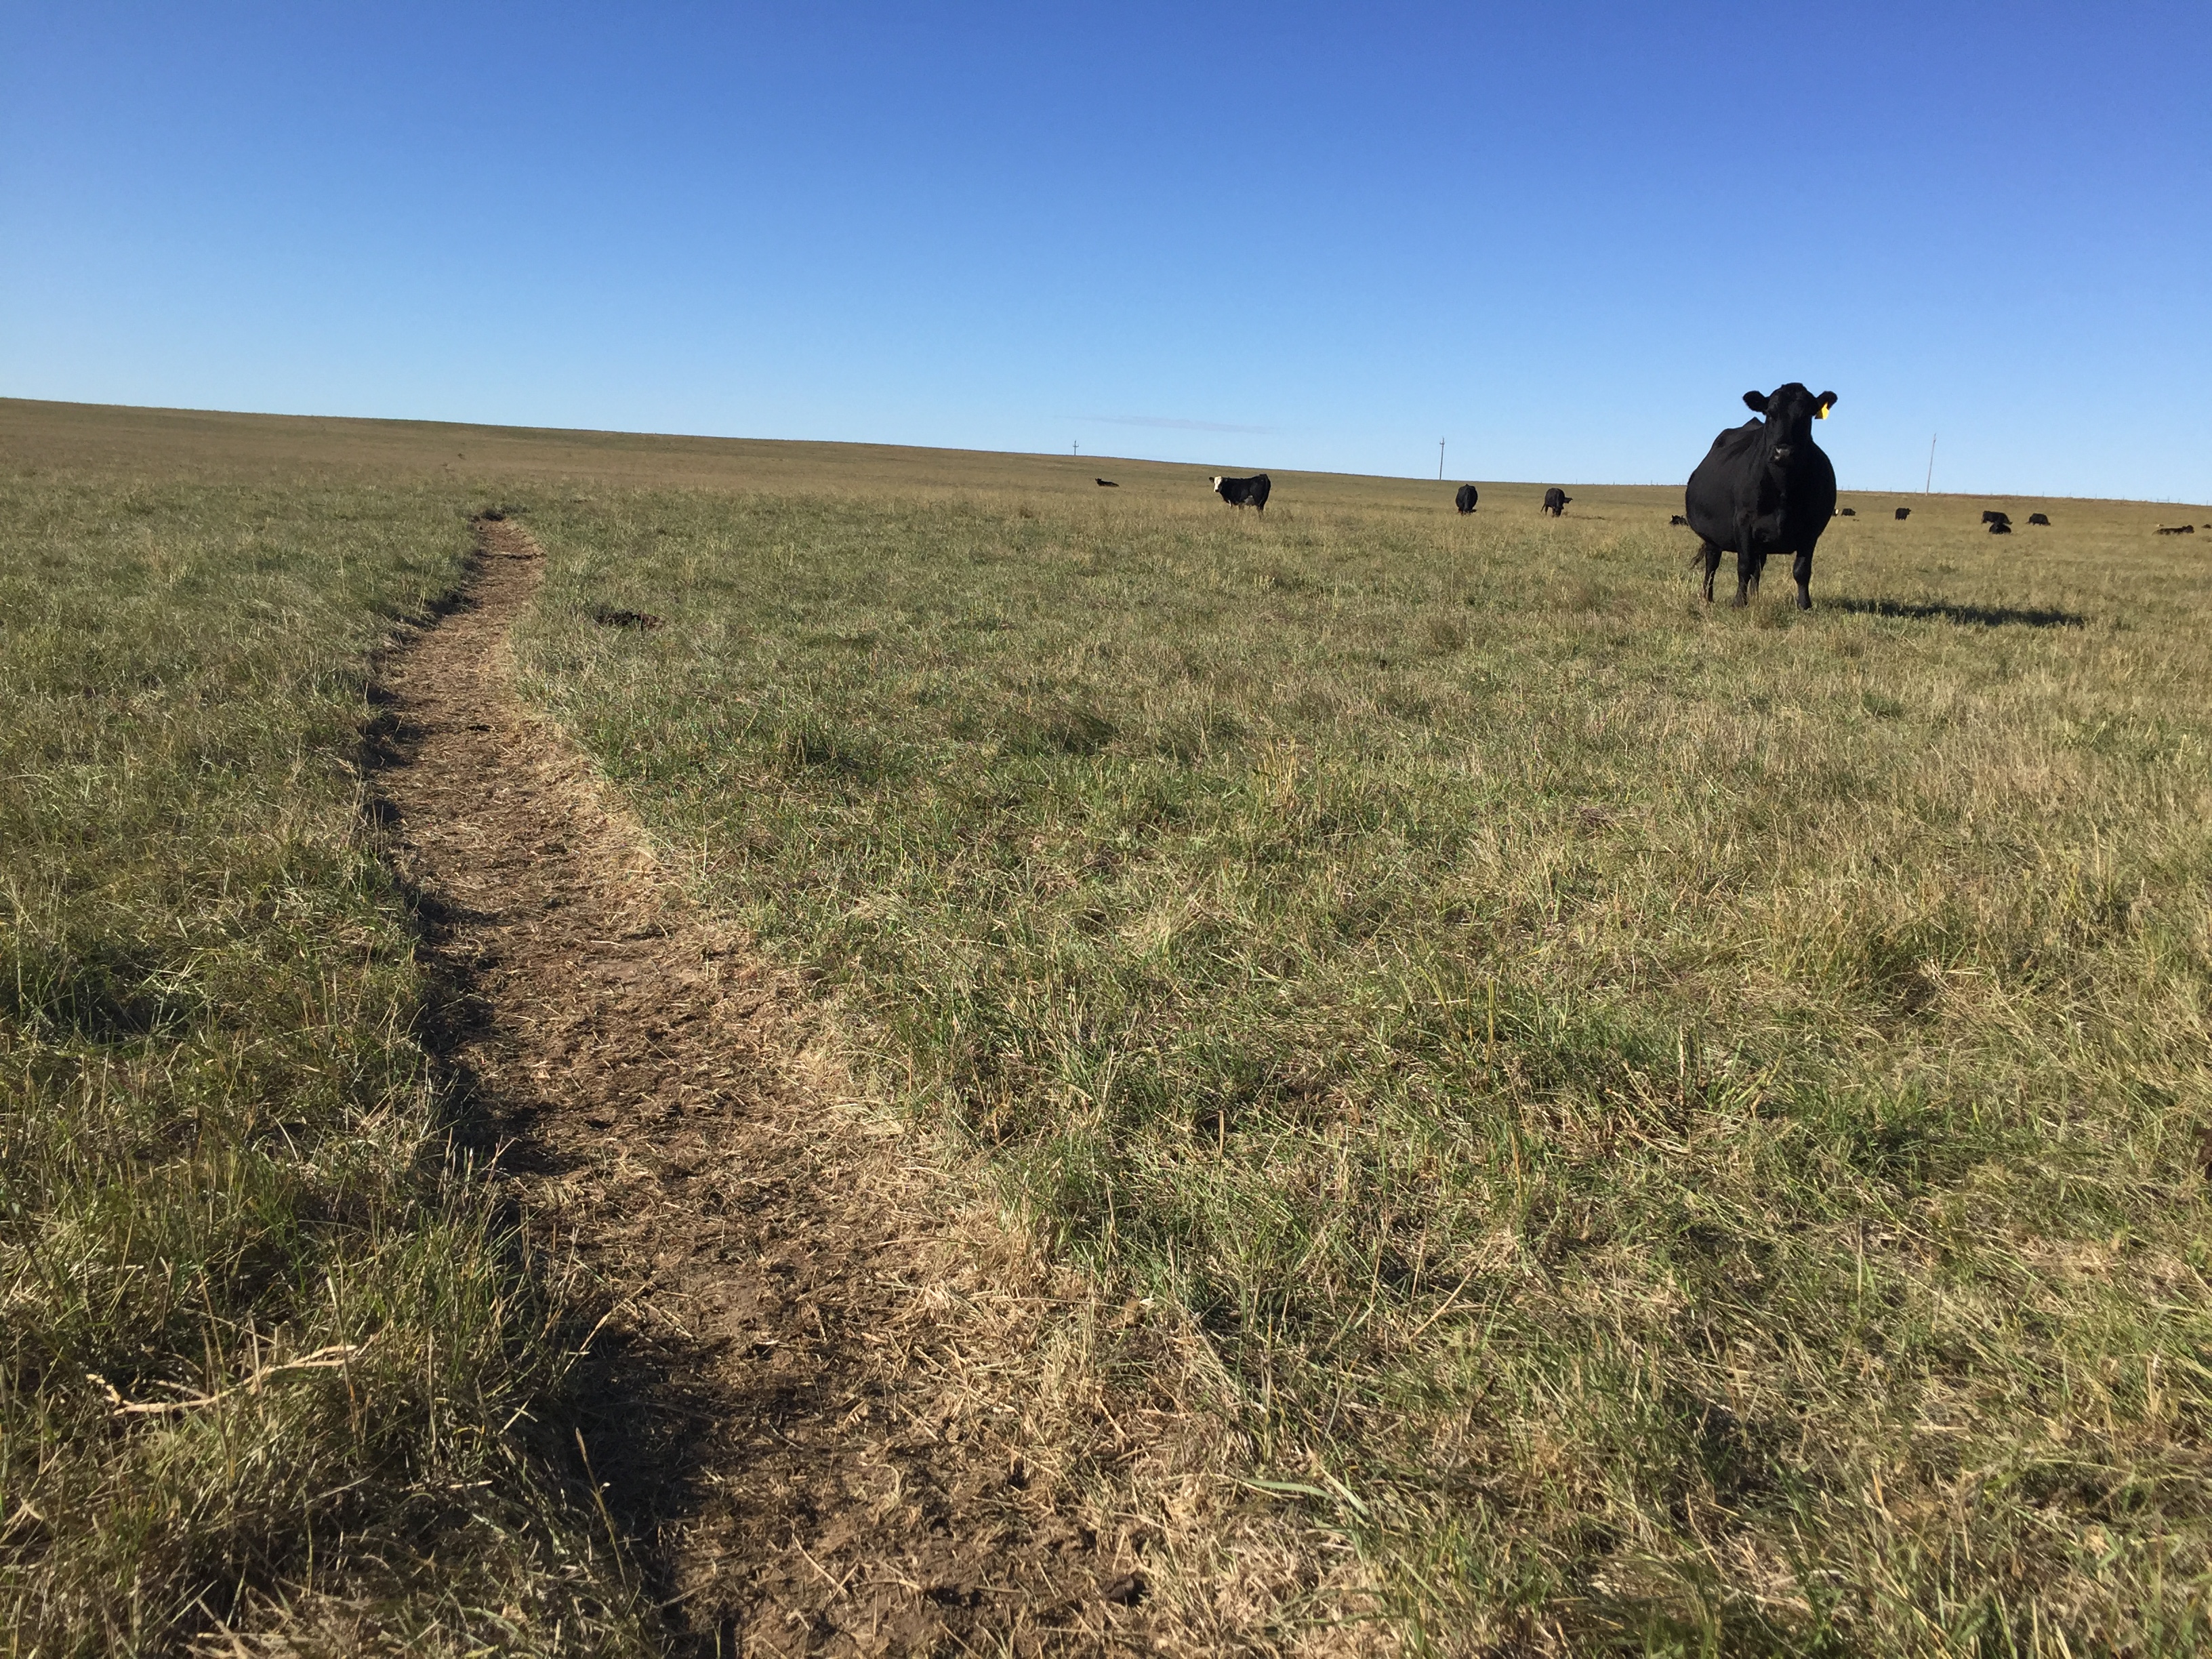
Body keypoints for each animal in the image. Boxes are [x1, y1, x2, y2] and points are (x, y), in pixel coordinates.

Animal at [1684, 383, 1838, 609]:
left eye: (1807, 415)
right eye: (1770, 413)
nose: (1784, 452)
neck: (1784, 489)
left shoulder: (1811, 528)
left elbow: (1802, 569)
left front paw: (1804, 605)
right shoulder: (1743, 522)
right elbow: (1744, 565)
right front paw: (1739, 602)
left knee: (1758, 568)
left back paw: (1755, 597)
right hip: (1713, 537)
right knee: (1712, 565)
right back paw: (1708, 598)